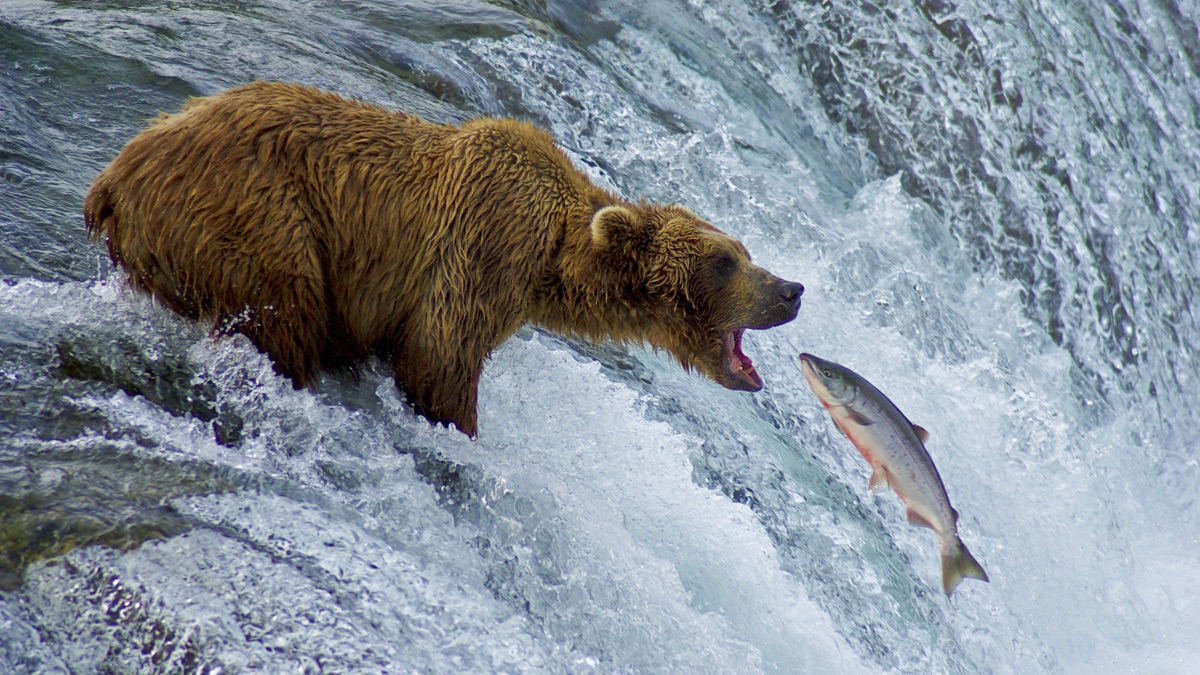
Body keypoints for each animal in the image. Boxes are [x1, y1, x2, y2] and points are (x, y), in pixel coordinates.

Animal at [84, 81, 803, 437]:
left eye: (746, 251)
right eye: (725, 261)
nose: (792, 289)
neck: (548, 260)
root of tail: (116, 176)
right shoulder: (478, 249)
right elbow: (438, 360)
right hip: (258, 217)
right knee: (286, 314)